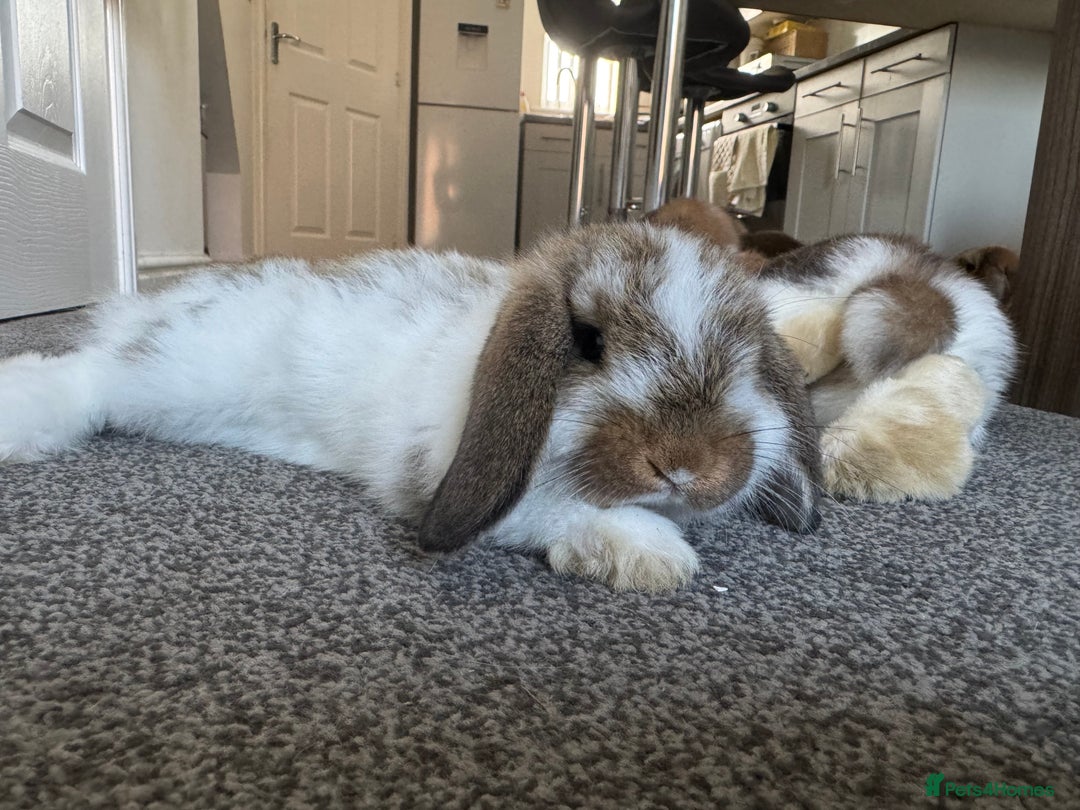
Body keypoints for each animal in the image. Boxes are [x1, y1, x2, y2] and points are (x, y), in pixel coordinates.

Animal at [0, 223, 822, 593]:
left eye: (749, 354)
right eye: (588, 341)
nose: (684, 464)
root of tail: (148, 307)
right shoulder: (443, 481)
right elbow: (557, 508)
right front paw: (656, 555)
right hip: (171, 372)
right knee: (89, 376)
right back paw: (20, 414)